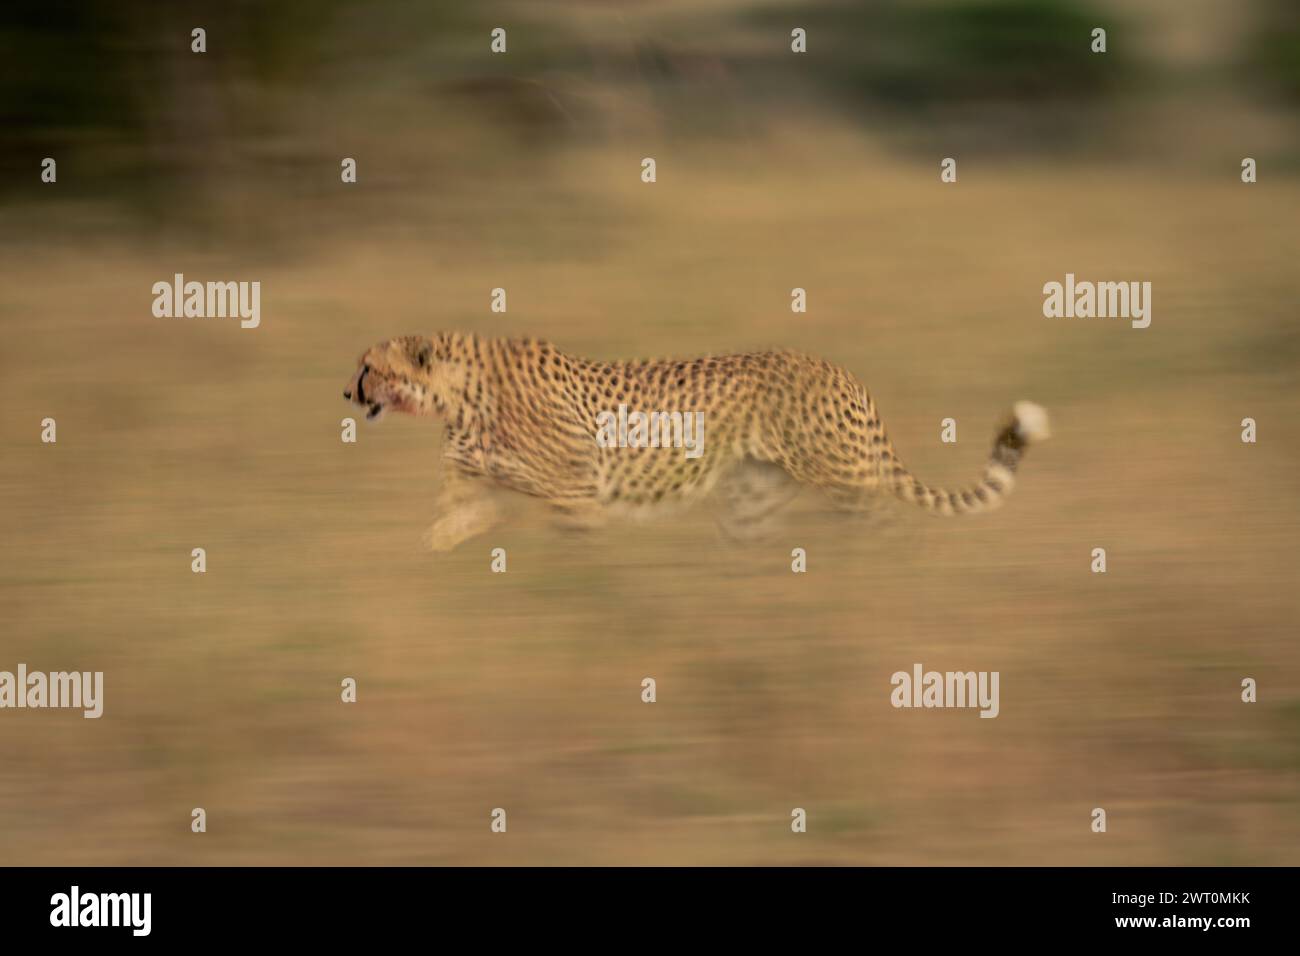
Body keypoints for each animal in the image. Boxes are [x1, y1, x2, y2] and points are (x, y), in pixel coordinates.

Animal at [342, 332, 1050, 551]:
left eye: (370, 366)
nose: (348, 393)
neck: (456, 393)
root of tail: (834, 367)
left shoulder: (577, 493)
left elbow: (571, 545)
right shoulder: (476, 480)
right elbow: (454, 523)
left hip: (849, 483)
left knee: (896, 534)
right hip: (753, 500)